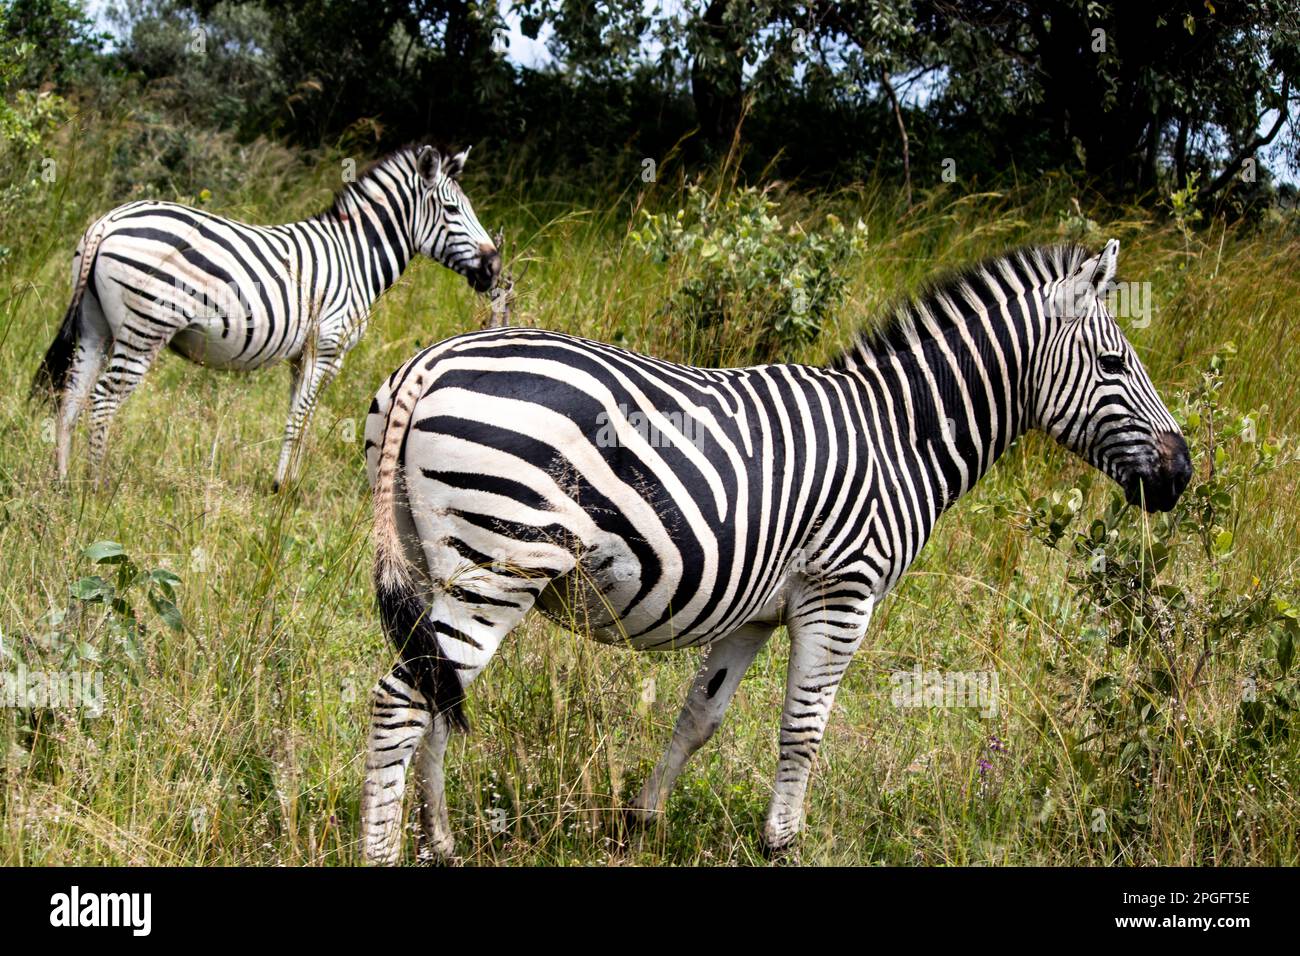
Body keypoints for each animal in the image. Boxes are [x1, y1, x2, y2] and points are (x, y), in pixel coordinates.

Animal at [32, 144, 500, 490]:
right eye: (453, 211)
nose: (495, 266)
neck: (354, 258)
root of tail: (108, 221)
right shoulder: (327, 347)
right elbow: (301, 418)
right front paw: (283, 489)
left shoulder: (302, 354)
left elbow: (299, 416)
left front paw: (285, 481)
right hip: (144, 329)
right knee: (103, 399)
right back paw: (95, 488)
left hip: (95, 328)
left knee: (71, 396)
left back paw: (63, 483)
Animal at [359, 239, 1192, 863]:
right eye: (1115, 366)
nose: (1182, 475)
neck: (901, 436)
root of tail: (431, 363)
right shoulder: (841, 594)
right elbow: (804, 727)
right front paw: (782, 842)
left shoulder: (755, 611)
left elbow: (700, 715)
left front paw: (641, 822)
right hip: (498, 564)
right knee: (402, 699)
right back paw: (385, 852)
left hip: (442, 563)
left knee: (433, 691)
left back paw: (440, 843)